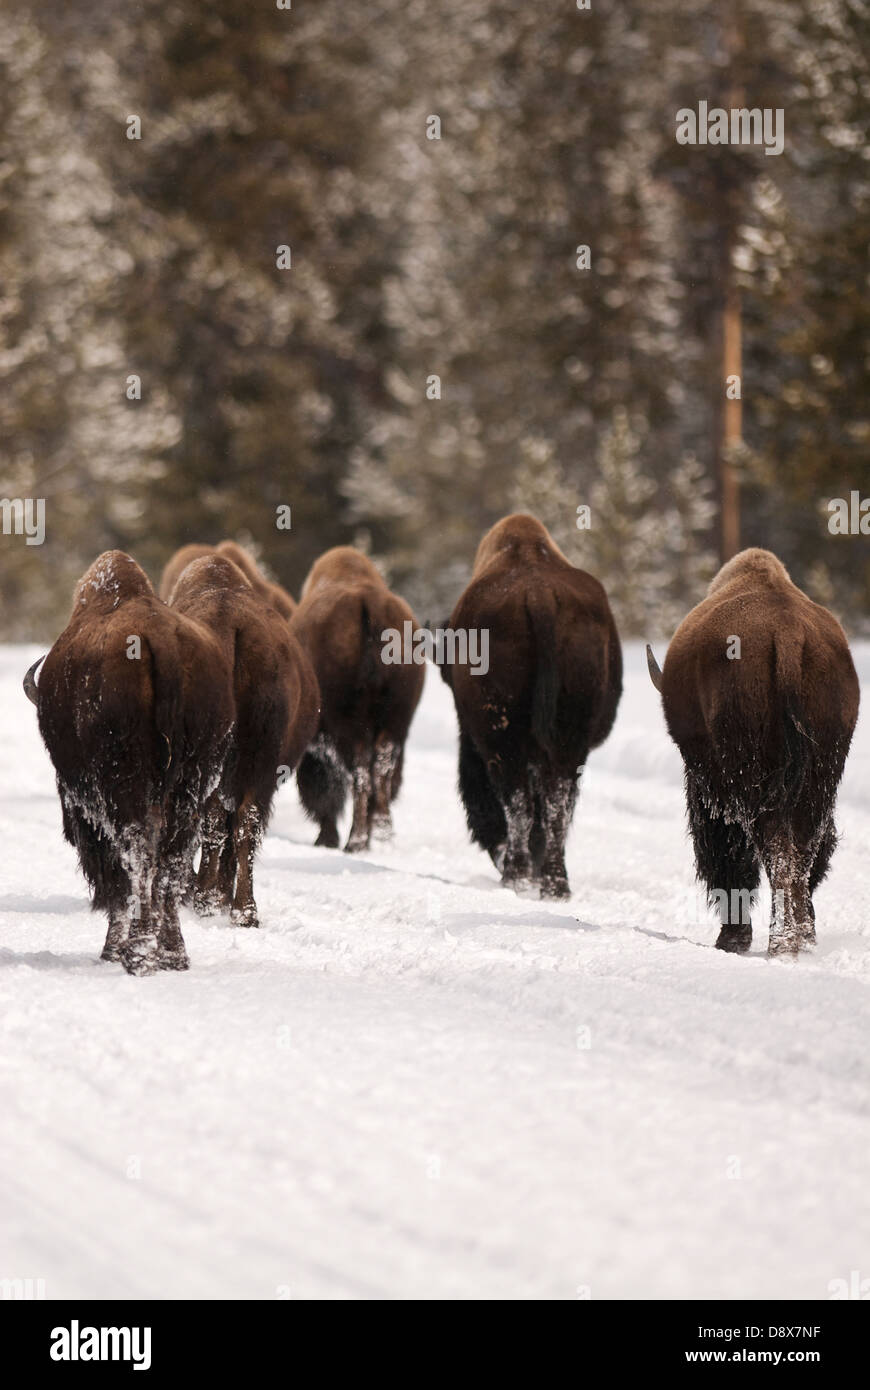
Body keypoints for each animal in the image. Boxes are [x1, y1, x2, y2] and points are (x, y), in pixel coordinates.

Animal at [24, 551, 234, 974]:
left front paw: (113, 950)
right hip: (193, 783)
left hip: (126, 787)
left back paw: (135, 953)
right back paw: (172, 954)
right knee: (172, 856)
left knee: (137, 850)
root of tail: (163, 641)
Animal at [167, 553, 319, 926]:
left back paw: (208, 900)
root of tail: (232, 626)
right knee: (244, 825)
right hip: (262, 765)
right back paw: (243, 911)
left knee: (215, 822)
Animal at [290, 547, 424, 851]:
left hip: (350, 728)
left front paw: (326, 838)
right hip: (395, 722)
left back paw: (355, 841)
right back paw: (382, 835)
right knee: (381, 771)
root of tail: (368, 605)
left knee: (360, 775)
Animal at [442, 514, 622, 899]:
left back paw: (517, 876)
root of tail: (539, 596)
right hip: (568, 739)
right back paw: (555, 883)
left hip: (502, 741)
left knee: (519, 800)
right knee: (556, 803)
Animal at [647, 548, 860, 955]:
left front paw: (731, 939)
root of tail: (788, 633)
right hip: (818, 782)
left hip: (753, 784)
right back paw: (802, 938)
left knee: (773, 852)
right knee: (803, 853)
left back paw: (777, 944)